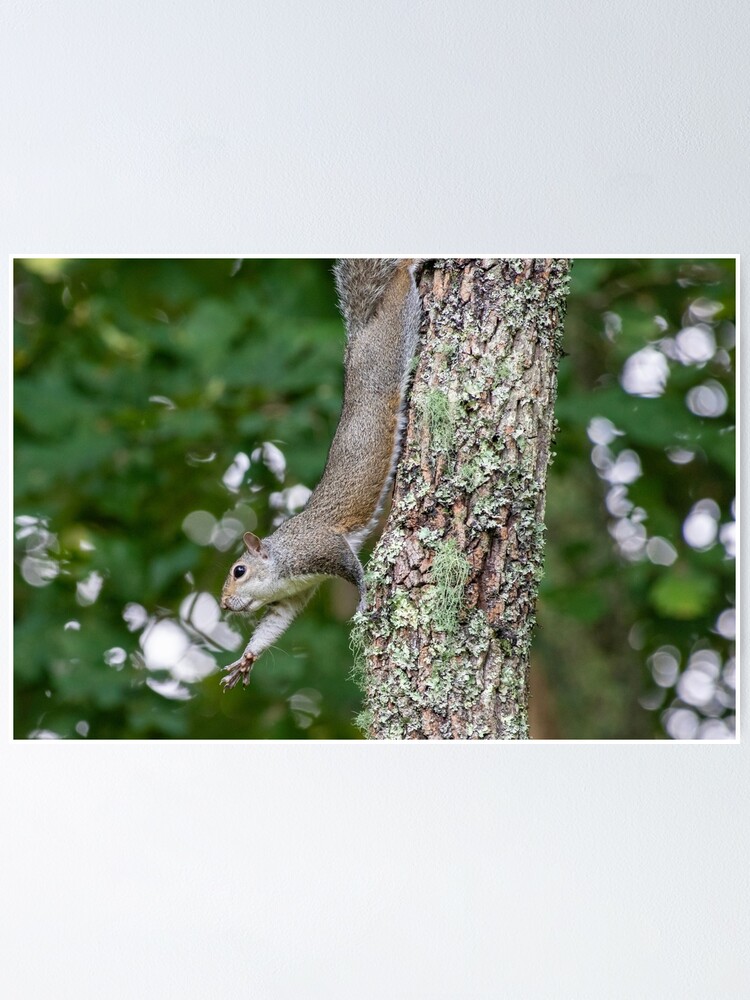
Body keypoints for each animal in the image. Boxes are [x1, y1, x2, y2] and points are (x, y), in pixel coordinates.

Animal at [219, 258, 424, 689]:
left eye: (239, 570)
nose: (225, 603)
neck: (282, 561)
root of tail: (358, 339)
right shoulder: (293, 596)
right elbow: (274, 625)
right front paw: (247, 658)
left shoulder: (322, 547)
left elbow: (354, 569)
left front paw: (364, 601)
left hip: (390, 343)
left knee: (399, 288)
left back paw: (410, 266)